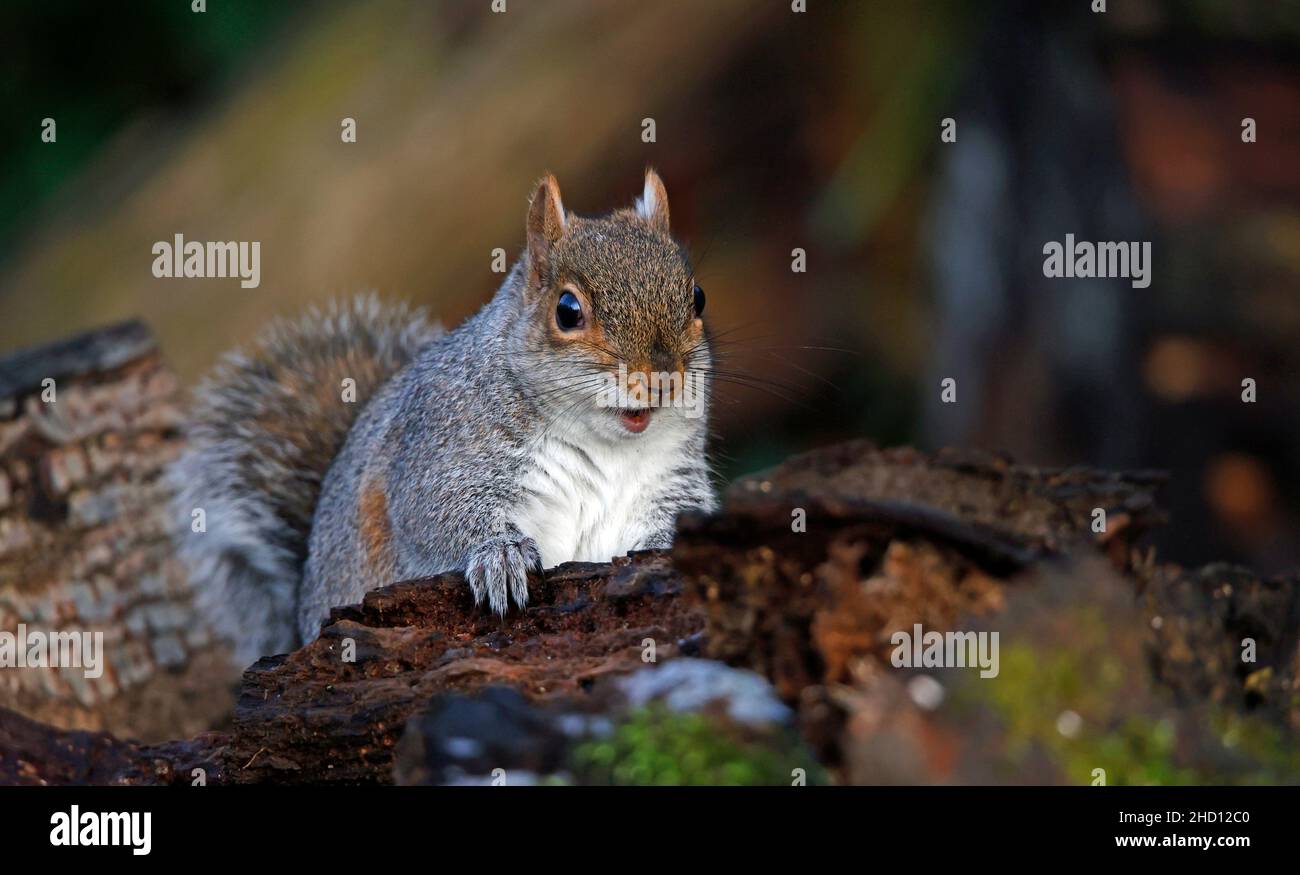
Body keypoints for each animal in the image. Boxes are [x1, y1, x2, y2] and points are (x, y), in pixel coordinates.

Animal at [171, 170, 717, 665]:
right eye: (567, 310)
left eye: (697, 297)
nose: (662, 378)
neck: (605, 445)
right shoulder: (436, 452)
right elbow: (439, 513)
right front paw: (501, 554)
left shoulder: (670, 479)